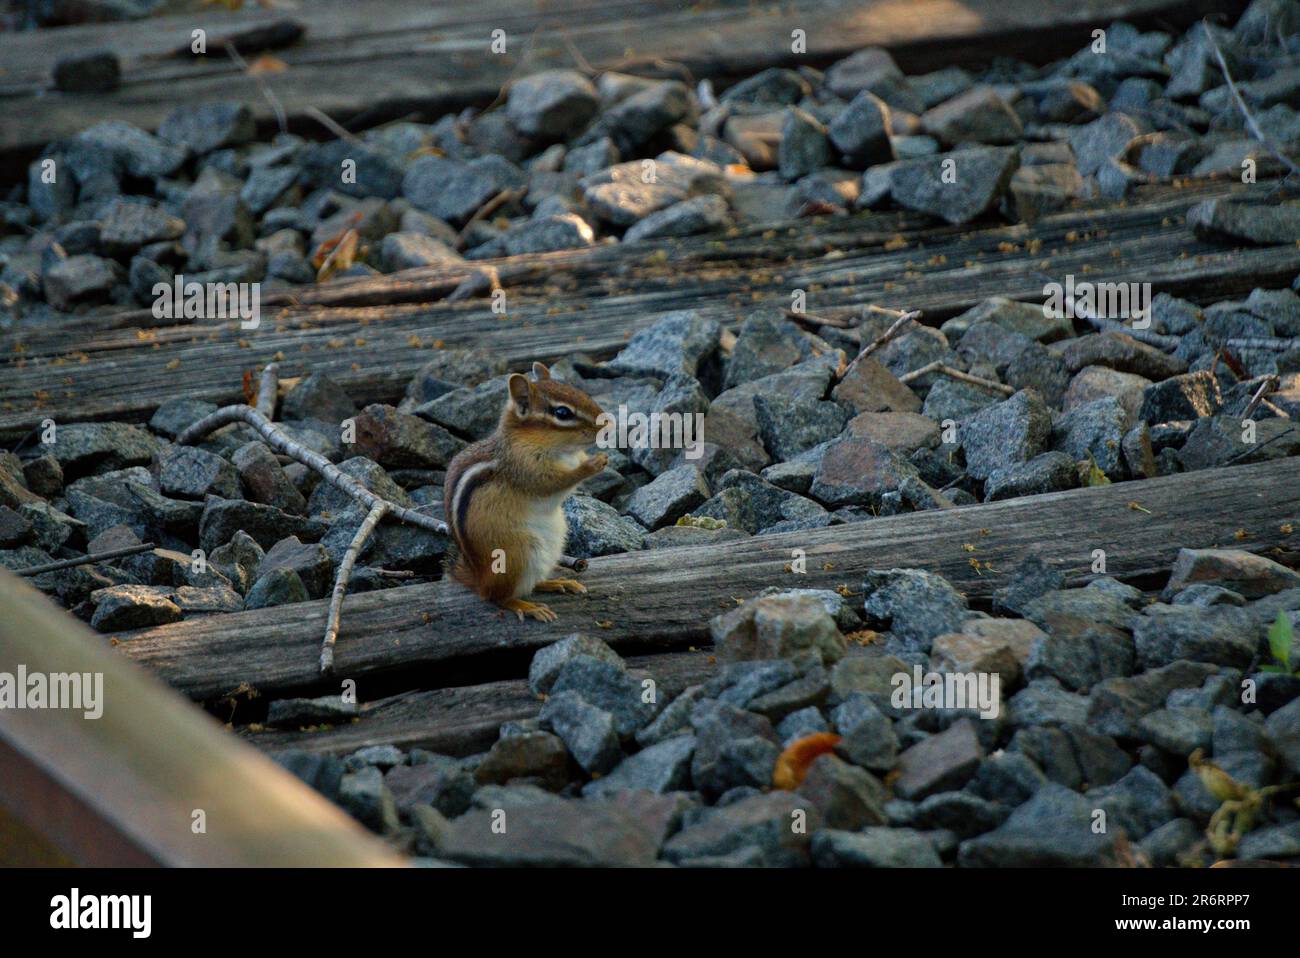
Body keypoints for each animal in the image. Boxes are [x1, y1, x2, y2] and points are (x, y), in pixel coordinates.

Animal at [443, 362, 608, 622]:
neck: (562, 451)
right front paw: (592, 465)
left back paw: (557, 583)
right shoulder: (526, 468)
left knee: (530, 584)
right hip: (516, 554)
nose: (608, 424)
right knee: (497, 597)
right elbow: (552, 483)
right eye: (563, 413)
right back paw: (527, 607)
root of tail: (479, 578)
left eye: (579, 392)